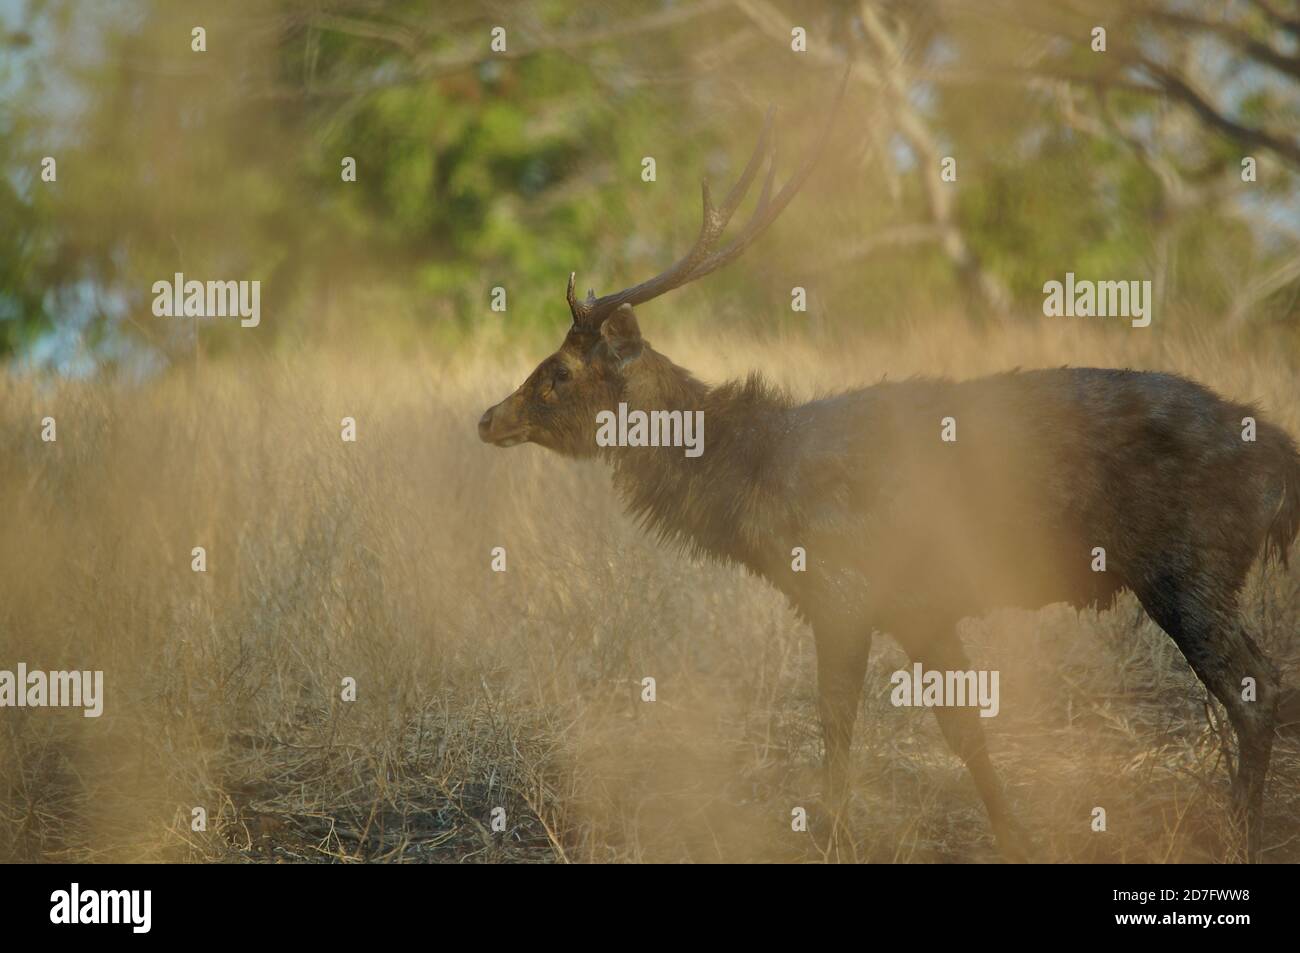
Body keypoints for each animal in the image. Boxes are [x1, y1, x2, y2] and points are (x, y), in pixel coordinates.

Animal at [477, 83, 1300, 862]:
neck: (751, 480)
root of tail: (1280, 462)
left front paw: (832, 835)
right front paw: (1016, 838)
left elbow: (837, 721)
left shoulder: (841, 589)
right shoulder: (920, 607)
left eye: (556, 373)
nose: (488, 417)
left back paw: (1239, 835)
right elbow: (965, 730)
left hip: (1189, 567)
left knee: (1257, 691)